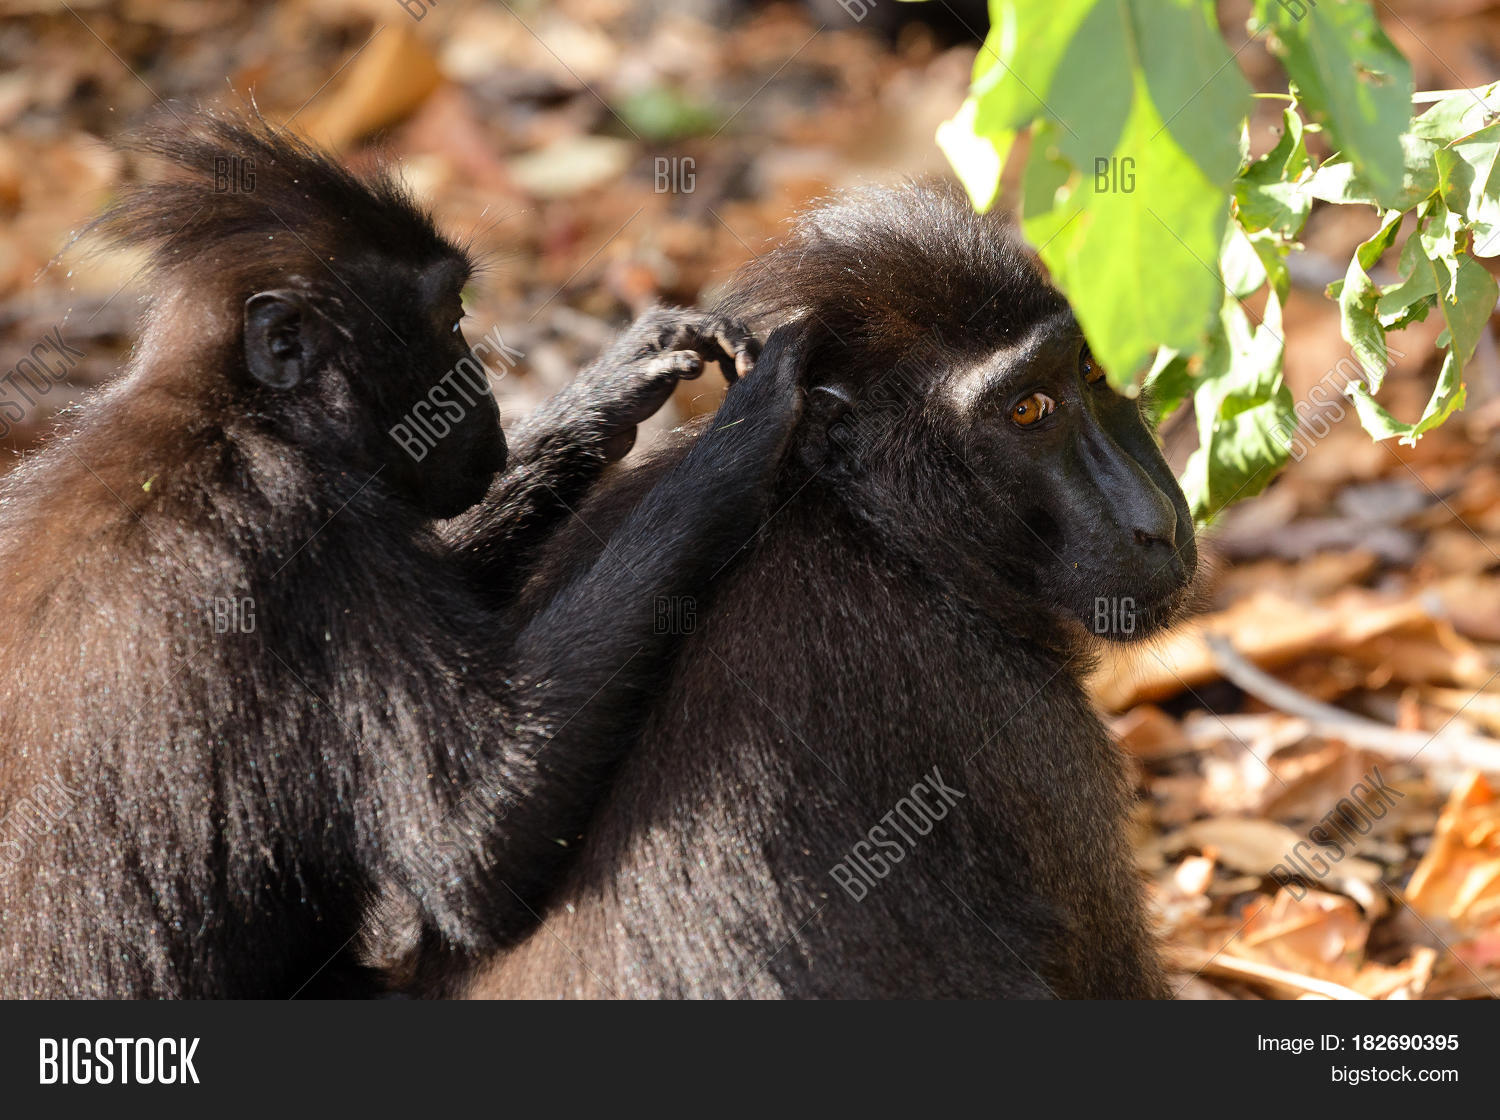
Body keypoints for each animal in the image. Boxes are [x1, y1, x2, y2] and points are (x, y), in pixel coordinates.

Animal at [0, 112, 800, 998]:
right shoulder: (297, 534)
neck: (234, 414)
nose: (483, 390)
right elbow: (478, 843)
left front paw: (608, 390)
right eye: (450, 318)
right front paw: (745, 432)